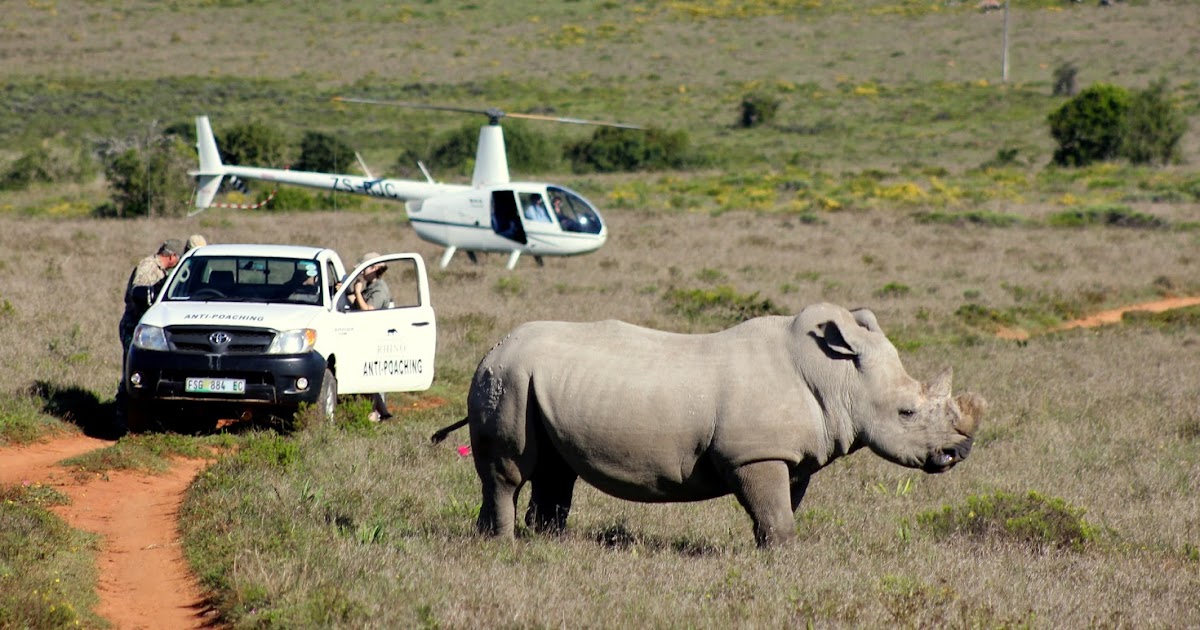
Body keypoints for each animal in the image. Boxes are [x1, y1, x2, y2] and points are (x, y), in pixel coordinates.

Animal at [431, 302, 985, 547]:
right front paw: (783, 560)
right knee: (509, 470)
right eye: (906, 413)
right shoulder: (756, 453)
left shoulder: (791, 456)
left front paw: (772, 552)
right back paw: (504, 545)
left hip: (531, 381)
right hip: (506, 378)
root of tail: (491, 350)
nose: (959, 453)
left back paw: (544, 542)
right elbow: (775, 511)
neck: (837, 377)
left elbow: (778, 512)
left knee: (554, 470)